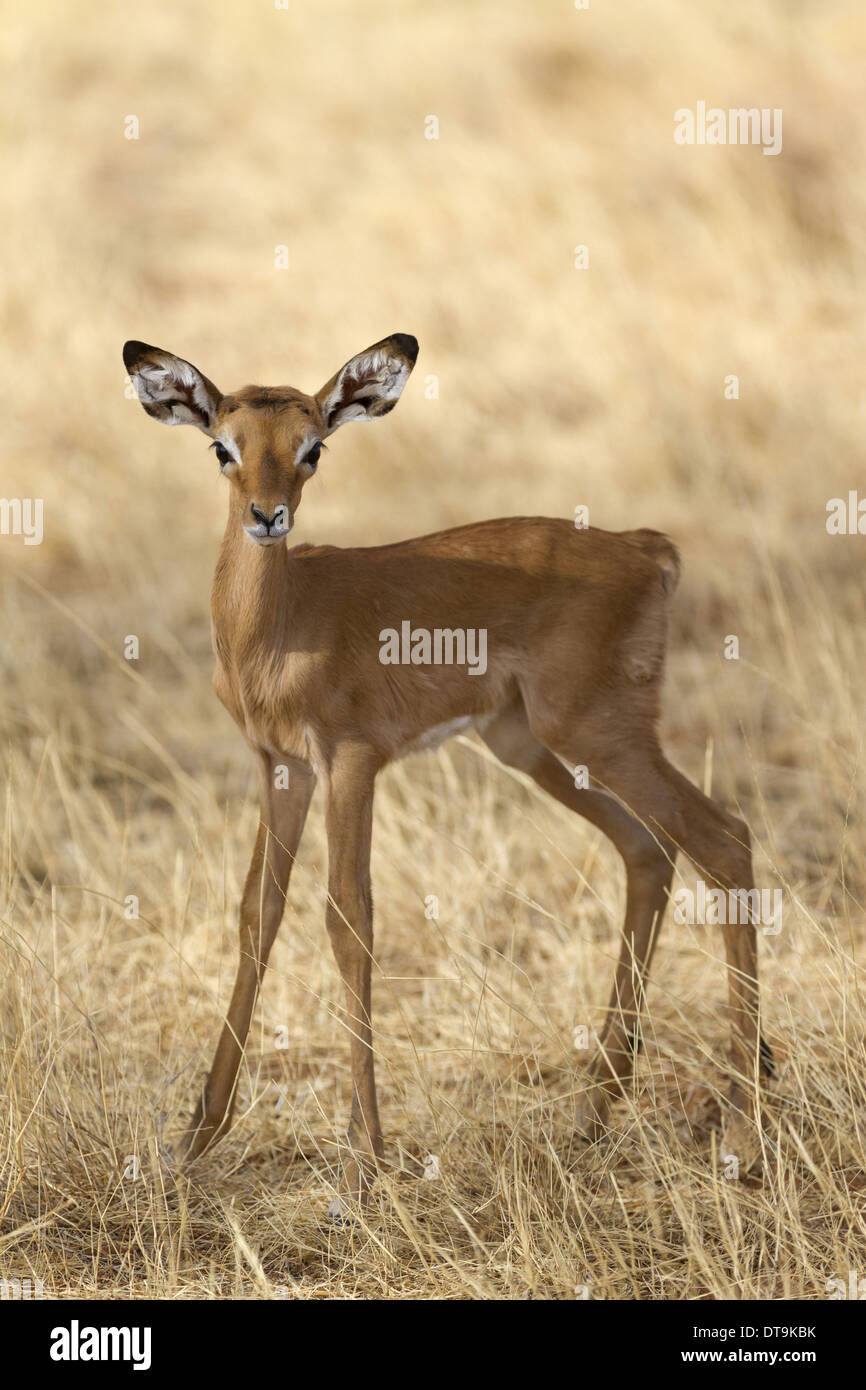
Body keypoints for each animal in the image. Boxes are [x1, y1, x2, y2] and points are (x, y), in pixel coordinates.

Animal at [122, 332, 772, 1213]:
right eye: (224, 446)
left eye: (312, 448)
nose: (267, 517)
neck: (282, 625)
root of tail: (647, 548)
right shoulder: (282, 768)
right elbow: (259, 913)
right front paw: (194, 1140)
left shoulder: (351, 762)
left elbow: (349, 921)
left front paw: (359, 1171)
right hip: (532, 746)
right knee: (650, 851)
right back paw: (592, 1112)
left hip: (599, 736)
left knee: (725, 839)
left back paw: (741, 1139)